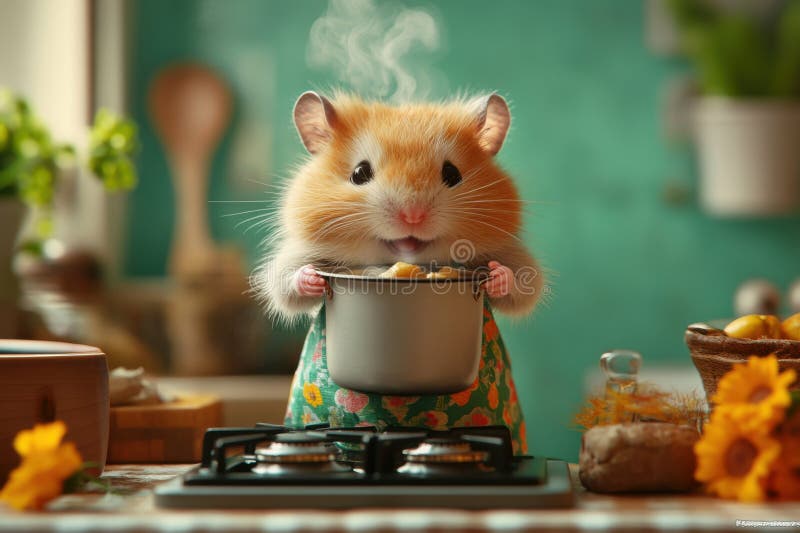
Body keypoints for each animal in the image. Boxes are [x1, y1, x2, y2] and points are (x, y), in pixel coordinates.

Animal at [256, 91, 543, 320]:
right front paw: (312, 277)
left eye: (453, 174)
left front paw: (497, 274)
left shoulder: (512, 255)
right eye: (359, 173)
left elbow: (524, 287)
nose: (412, 216)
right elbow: (285, 286)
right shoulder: (296, 255)